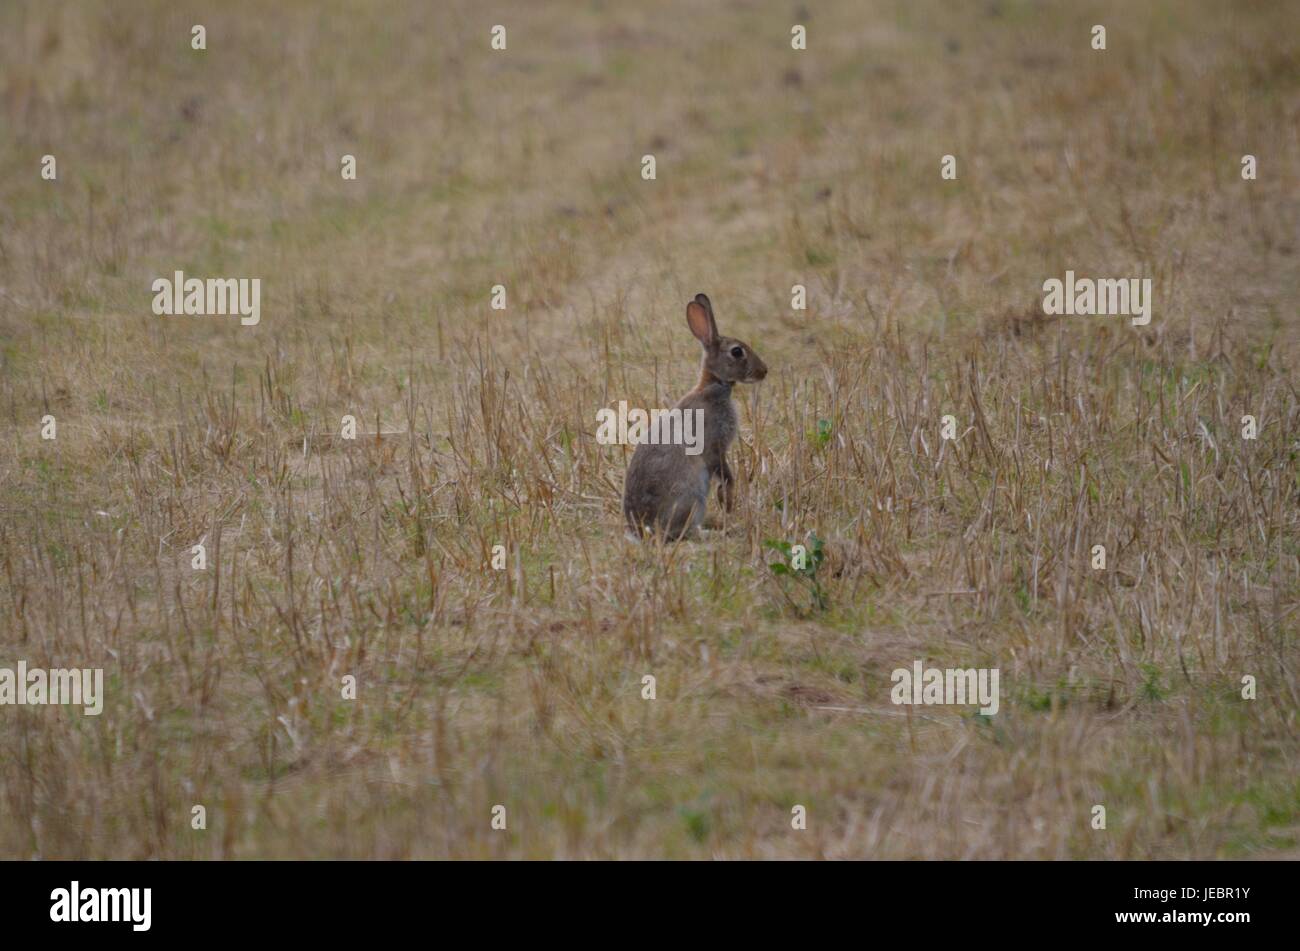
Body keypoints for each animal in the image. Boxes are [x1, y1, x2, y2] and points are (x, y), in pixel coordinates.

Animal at [623, 293, 768, 539]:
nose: (764, 371)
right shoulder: (714, 447)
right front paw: (727, 502)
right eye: (737, 351)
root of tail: (642, 529)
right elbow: (725, 474)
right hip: (693, 496)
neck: (715, 384)